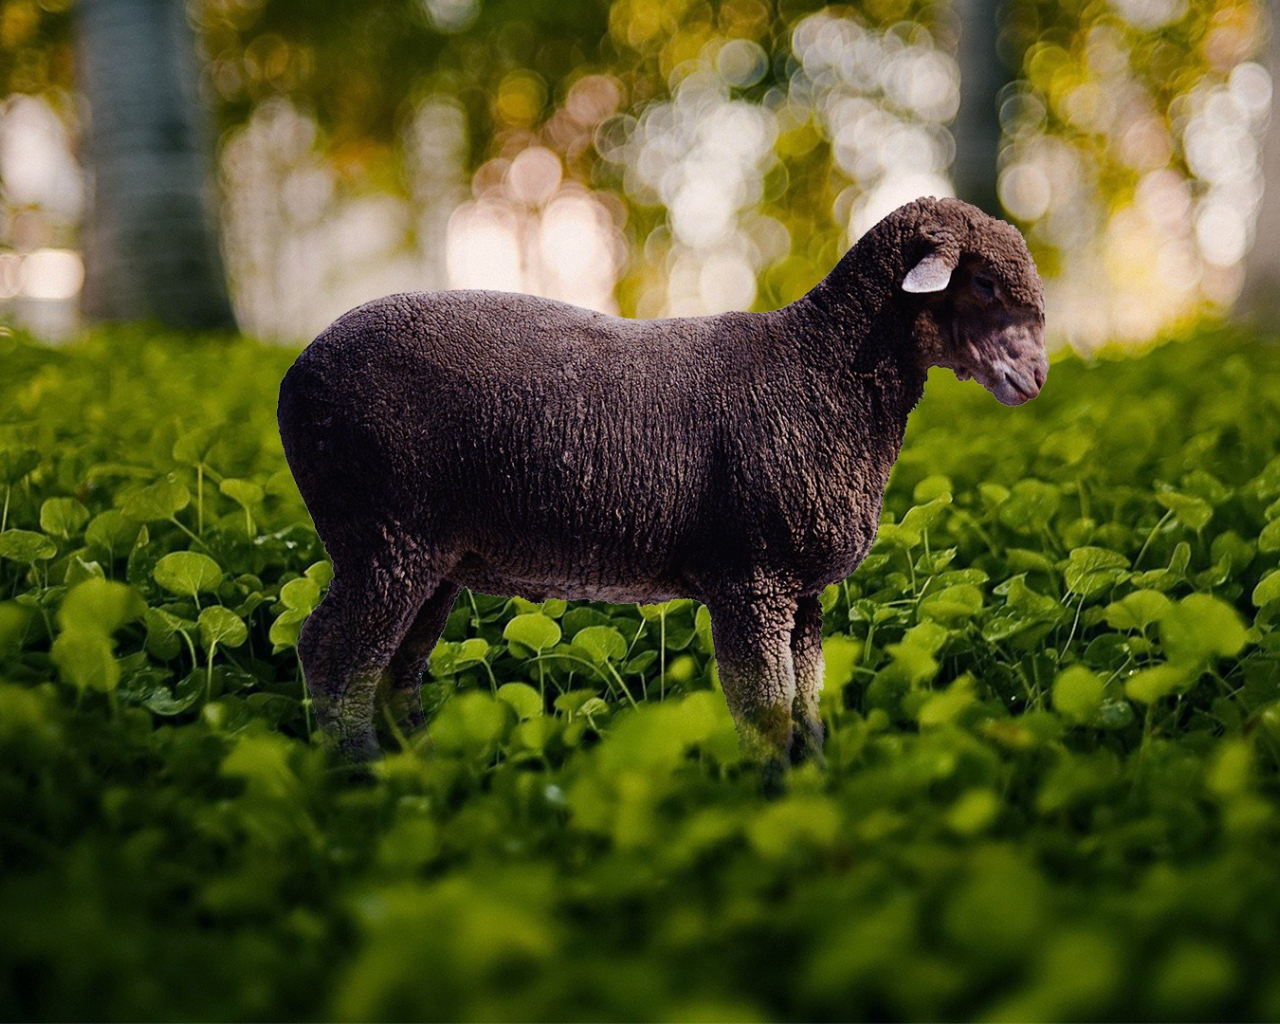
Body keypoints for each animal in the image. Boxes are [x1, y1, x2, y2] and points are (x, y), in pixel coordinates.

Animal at [277, 195, 1047, 776]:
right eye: (982, 282)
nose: (1037, 379)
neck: (822, 369)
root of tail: (295, 374)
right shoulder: (751, 580)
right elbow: (766, 711)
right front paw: (773, 795)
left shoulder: (802, 593)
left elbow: (807, 707)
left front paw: (814, 787)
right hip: (383, 536)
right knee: (332, 654)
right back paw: (364, 777)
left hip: (428, 558)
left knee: (394, 671)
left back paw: (423, 771)